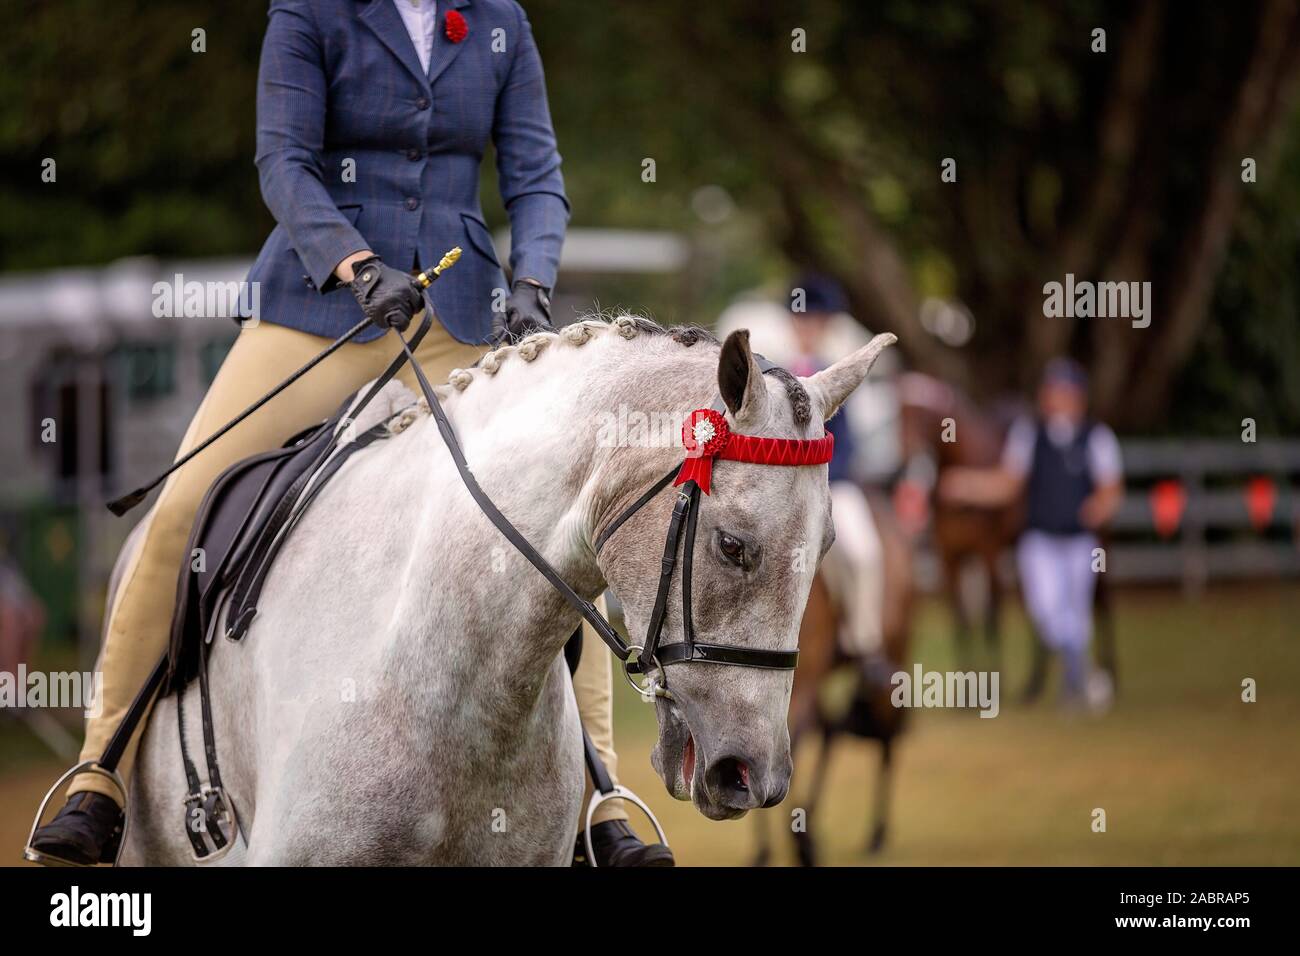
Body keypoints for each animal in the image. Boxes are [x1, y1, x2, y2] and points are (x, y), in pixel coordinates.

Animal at [751, 491, 913, 866]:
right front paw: (769, 851)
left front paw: (801, 847)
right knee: (831, 732)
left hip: (890, 661)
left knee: (885, 739)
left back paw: (876, 834)